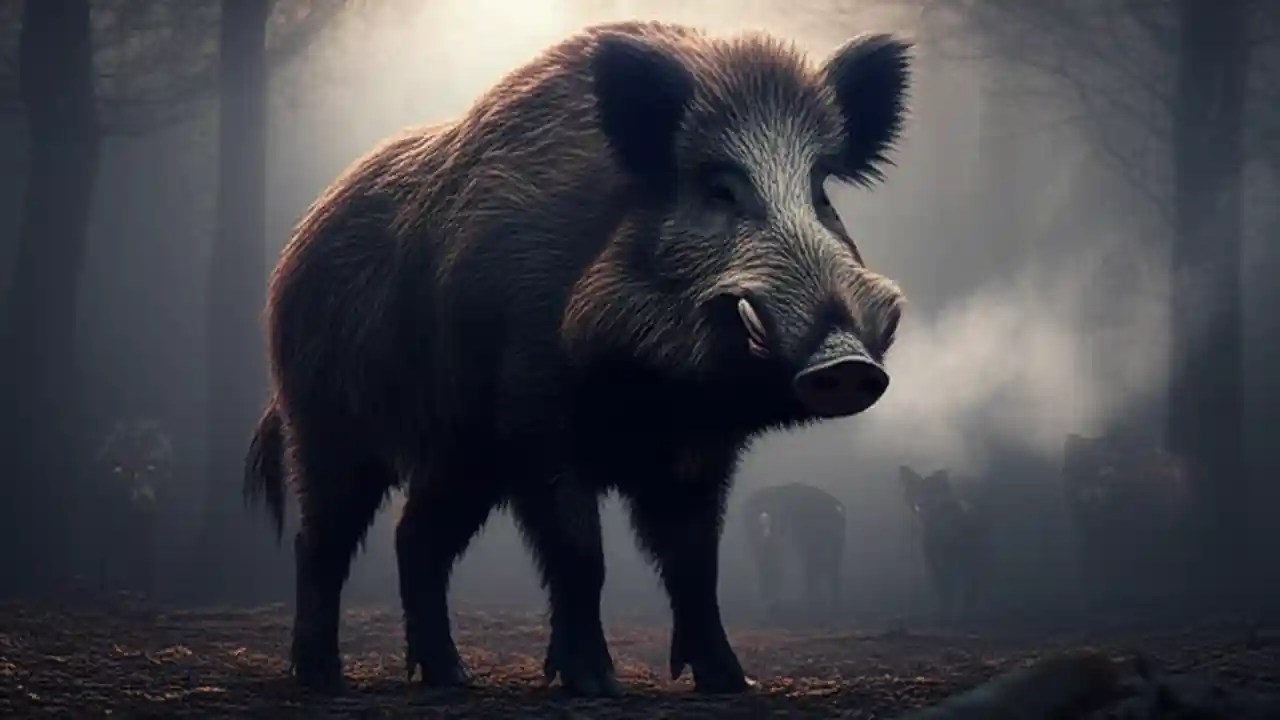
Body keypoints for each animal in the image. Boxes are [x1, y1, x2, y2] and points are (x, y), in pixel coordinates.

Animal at [899, 466, 988, 625]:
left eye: (931, 493)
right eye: (915, 492)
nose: (920, 506)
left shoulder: (959, 565)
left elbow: (960, 594)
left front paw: (959, 617)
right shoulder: (935, 566)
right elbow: (943, 596)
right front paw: (943, 617)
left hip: (975, 564)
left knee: (973, 588)